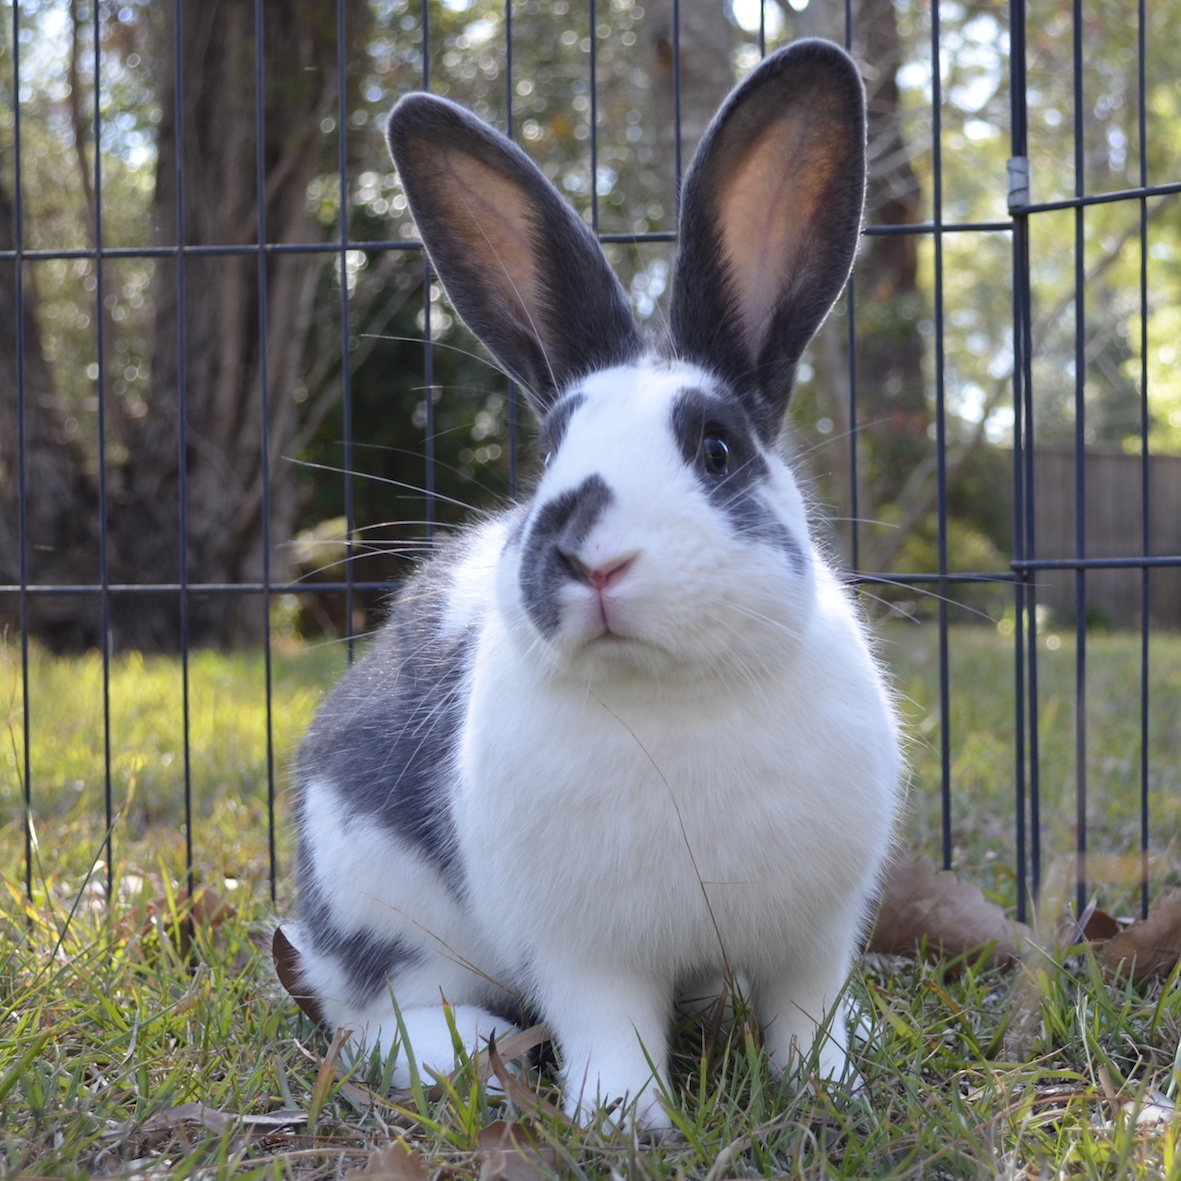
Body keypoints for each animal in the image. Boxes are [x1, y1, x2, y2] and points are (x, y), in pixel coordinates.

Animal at [276, 38, 902, 1135]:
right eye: (548, 454)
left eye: (715, 447)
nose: (589, 559)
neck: (673, 696)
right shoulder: (584, 951)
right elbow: (607, 1024)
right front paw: (625, 1117)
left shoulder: (815, 934)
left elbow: (807, 1011)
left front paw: (832, 1089)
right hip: (371, 892)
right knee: (377, 1008)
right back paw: (471, 1055)